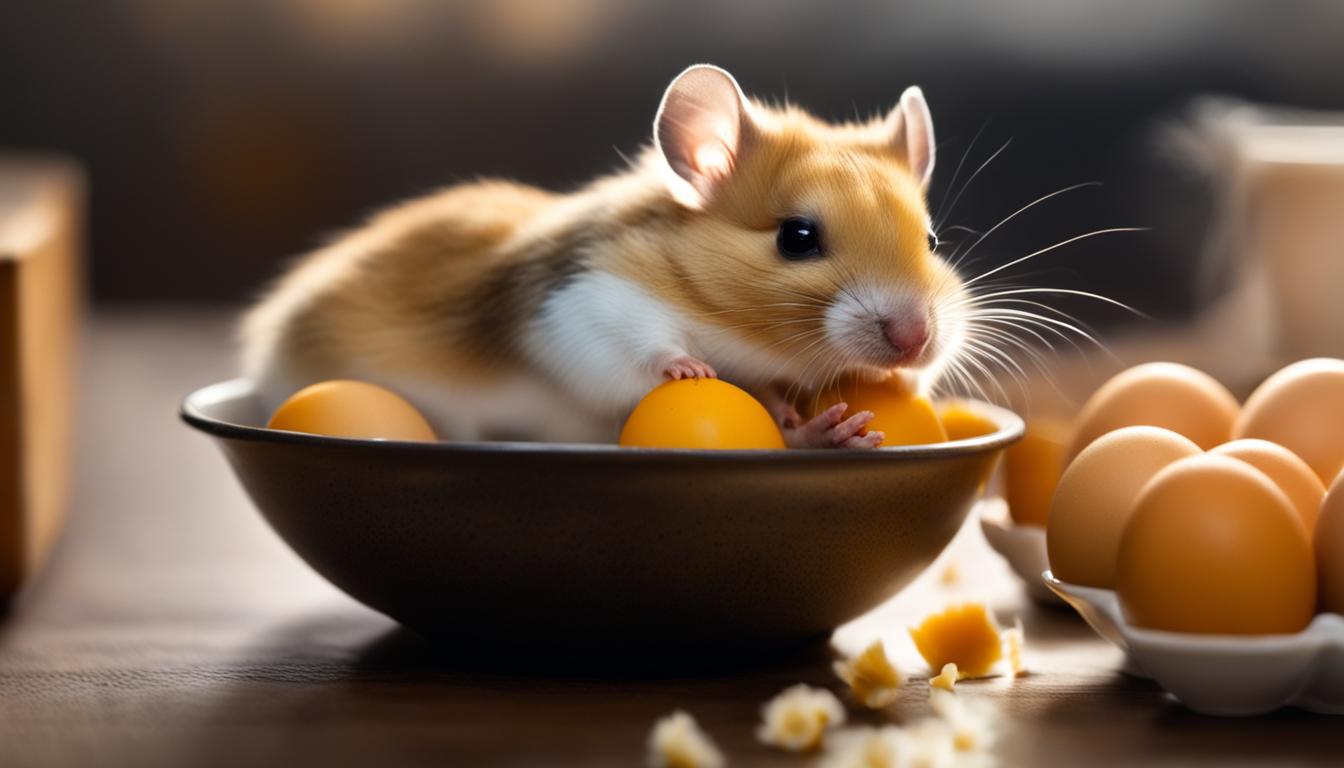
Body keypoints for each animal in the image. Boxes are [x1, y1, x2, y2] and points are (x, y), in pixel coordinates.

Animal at [242, 65, 968, 447]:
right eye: (797, 237)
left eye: (931, 242)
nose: (915, 342)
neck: (741, 335)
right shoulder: (589, 304)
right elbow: (645, 352)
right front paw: (692, 371)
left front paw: (845, 418)